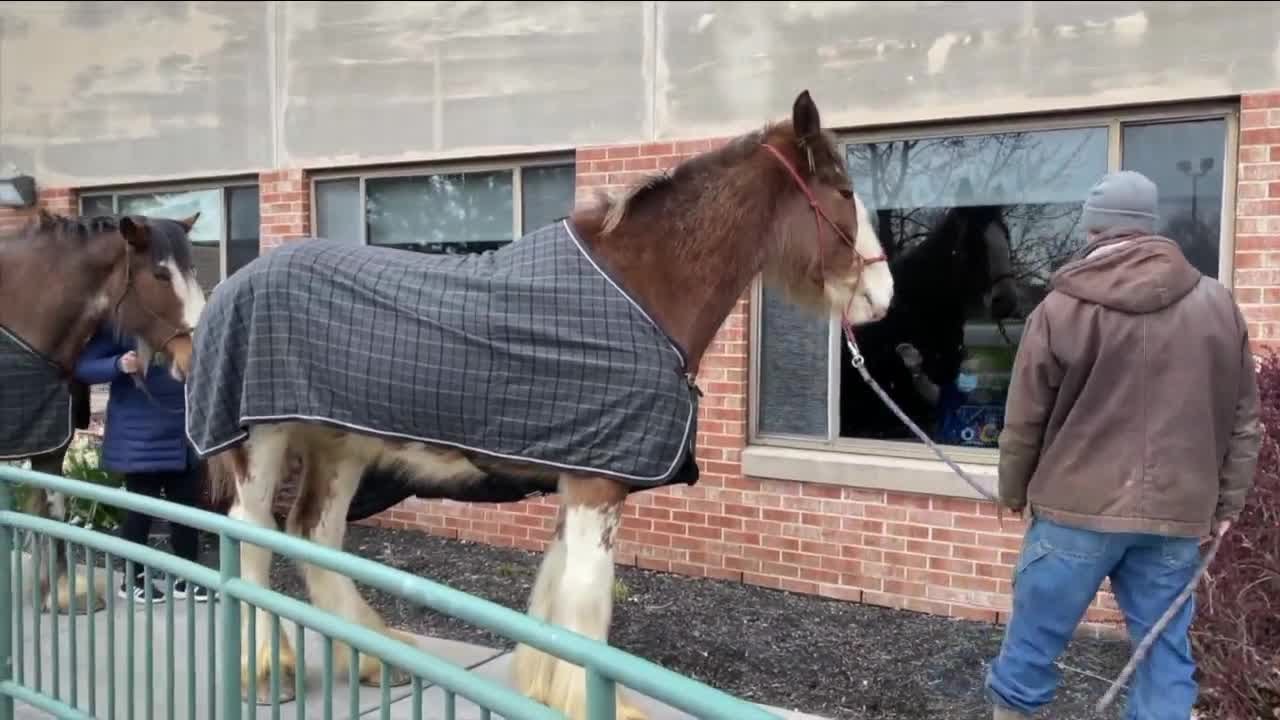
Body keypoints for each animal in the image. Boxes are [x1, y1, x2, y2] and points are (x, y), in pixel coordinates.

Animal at [0, 210, 204, 612]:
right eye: (160, 275)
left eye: (192, 270)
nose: (196, 356)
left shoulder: (50, 446)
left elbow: (54, 507)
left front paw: (61, 592)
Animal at [192, 89, 895, 718]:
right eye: (843, 191)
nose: (883, 294)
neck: (638, 294)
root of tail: (234, 282)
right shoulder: (597, 483)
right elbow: (587, 600)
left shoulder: (582, 475)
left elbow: (559, 589)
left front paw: (546, 687)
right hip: (262, 442)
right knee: (250, 539)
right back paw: (268, 670)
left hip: (339, 442)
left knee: (314, 534)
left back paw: (370, 655)